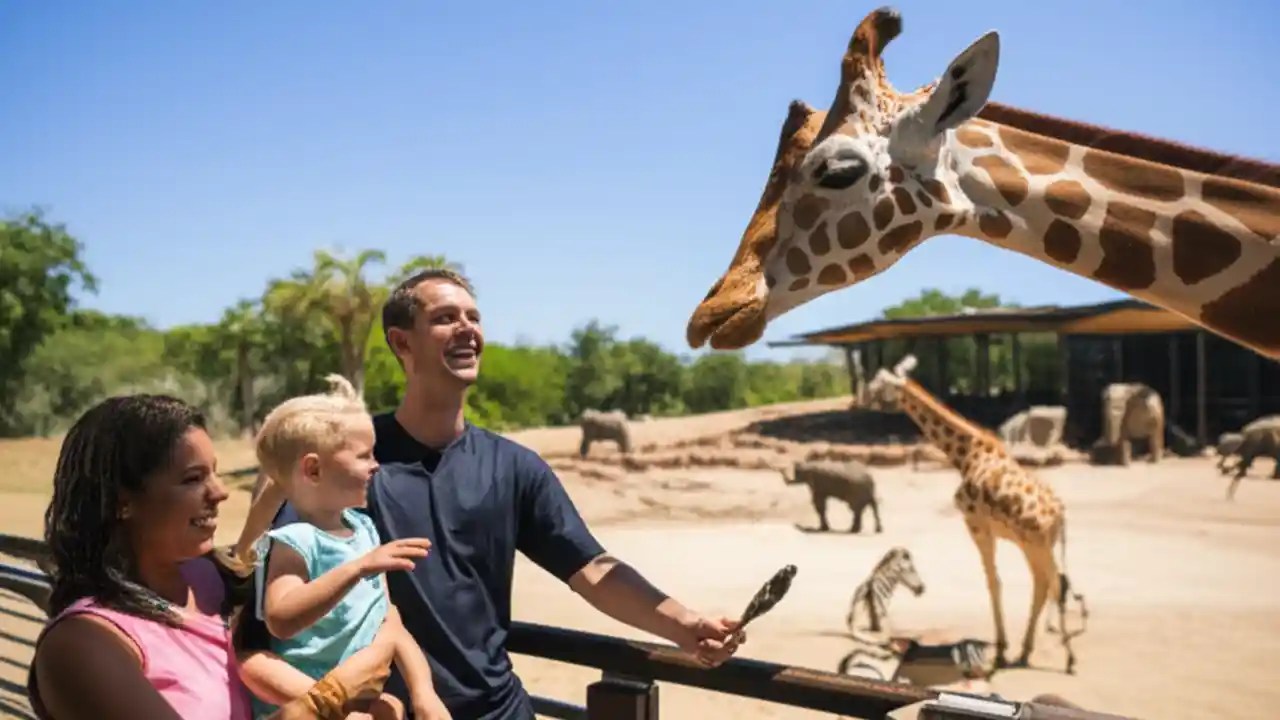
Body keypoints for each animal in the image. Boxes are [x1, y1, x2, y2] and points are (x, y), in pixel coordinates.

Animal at [863, 354, 1077, 673]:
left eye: (880, 381)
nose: (862, 397)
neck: (963, 453)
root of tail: (1060, 515)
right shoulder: (991, 531)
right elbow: (996, 582)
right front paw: (1004, 649)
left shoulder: (976, 525)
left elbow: (993, 583)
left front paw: (1000, 650)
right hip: (1034, 545)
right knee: (1043, 584)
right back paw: (1026, 651)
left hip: (1037, 544)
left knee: (1054, 584)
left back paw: (1068, 658)